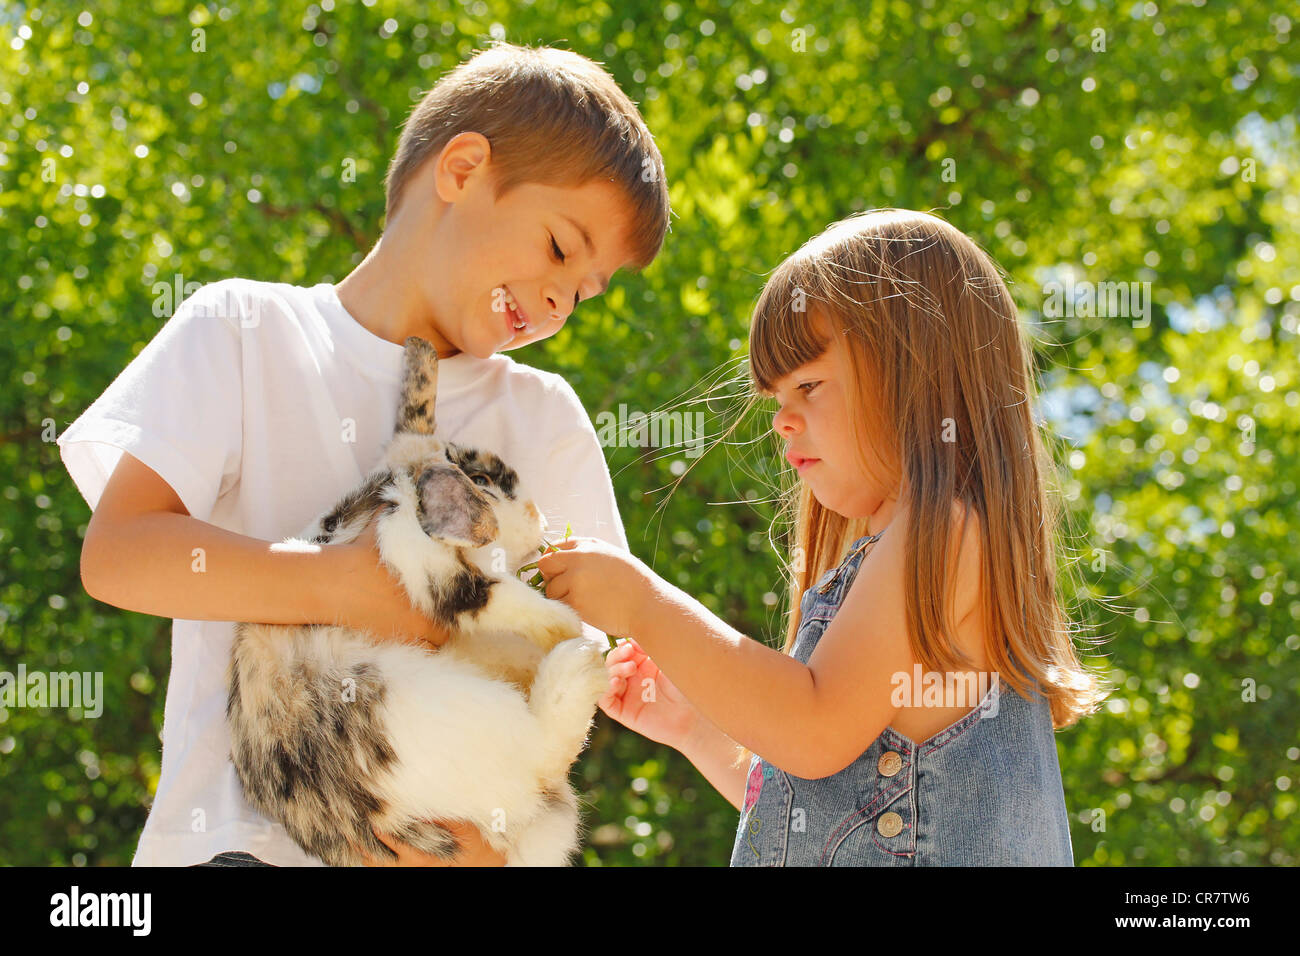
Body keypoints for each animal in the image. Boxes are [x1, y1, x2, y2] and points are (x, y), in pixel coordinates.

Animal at [226, 336, 611, 866]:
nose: (537, 517)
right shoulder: (437, 572)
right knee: (542, 747)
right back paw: (579, 661)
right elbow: (505, 599)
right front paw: (568, 625)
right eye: (482, 482)